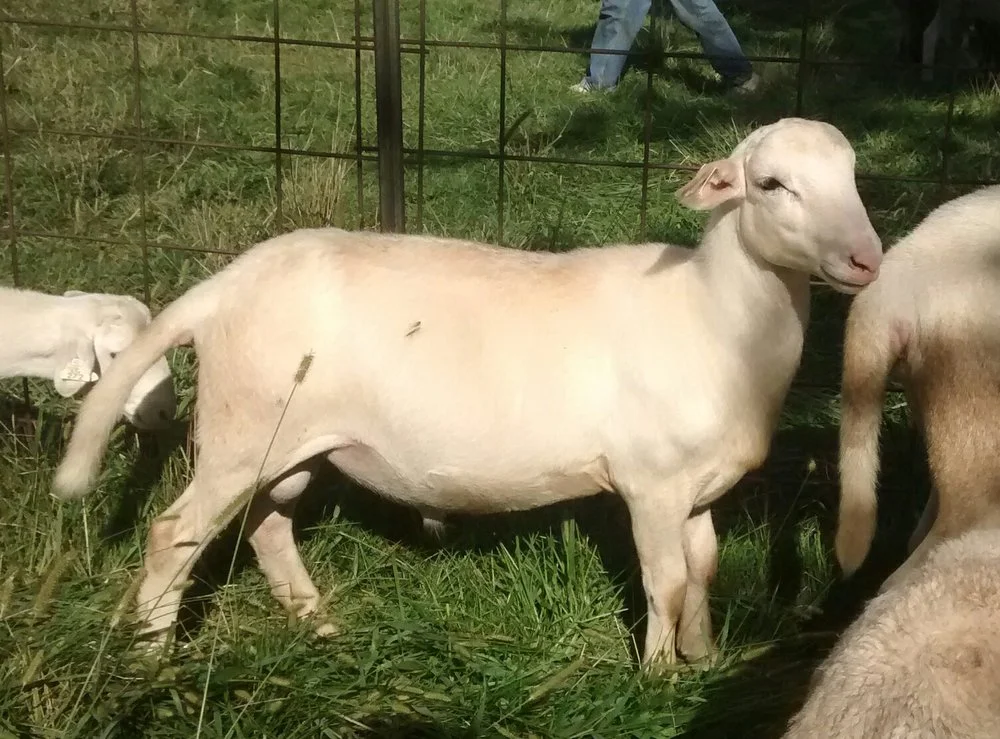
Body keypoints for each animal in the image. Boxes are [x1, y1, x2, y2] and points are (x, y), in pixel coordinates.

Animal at [50, 117, 883, 665]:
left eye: (854, 177)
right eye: (771, 185)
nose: (865, 258)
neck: (715, 315)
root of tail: (220, 286)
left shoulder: (696, 486)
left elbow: (703, 571)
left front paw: (703, 659)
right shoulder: (650, 482)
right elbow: (668, 580)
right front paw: (655, 676)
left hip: (283, 439)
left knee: (268, 524)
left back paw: (317, 624)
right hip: (240, 428)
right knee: (175, 533)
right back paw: (153, 659)